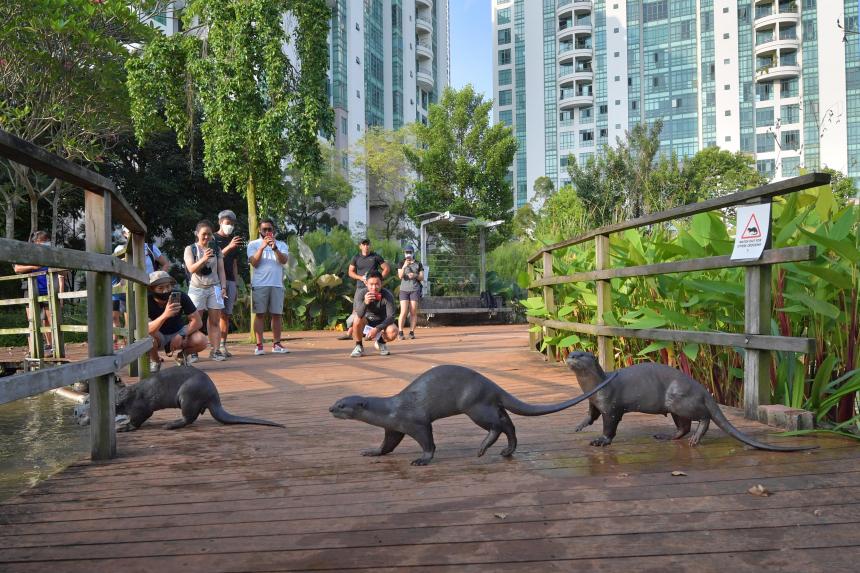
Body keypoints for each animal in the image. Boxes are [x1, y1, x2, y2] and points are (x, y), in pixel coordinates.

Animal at [116, 366, 284, 430]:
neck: (127, 396)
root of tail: (213, 395)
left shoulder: (139, 407)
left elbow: (138, 419)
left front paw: (123, 427)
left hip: (187, 394)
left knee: (189, 418)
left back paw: (170, 425)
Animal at [329, 364, 618, 465]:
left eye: (343, 405)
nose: (331, 408)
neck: (390, 410)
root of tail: (491, 384)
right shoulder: (394, 427)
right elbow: (388, 444)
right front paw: (373, 452)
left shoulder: (415, 422)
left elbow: (428, 441)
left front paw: (423, 459)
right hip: (487, 405)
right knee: (508, 423)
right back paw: (506, 451)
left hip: (474, 406)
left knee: (498, 425)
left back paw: (482, 449)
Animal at [565, 351, 816, 451]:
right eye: (572, 353)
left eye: (581, 355)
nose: (570, 356)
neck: (596, 387)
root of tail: (702, 388)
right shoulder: (593, 402)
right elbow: (590, 416)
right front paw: (579, 425)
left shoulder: (611, 406)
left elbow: (610, 426)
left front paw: (601, 440)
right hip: (676, 407)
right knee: (683, 427)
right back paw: (667, 436)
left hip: (680, 400)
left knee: (704, 416)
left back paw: (696, 438)